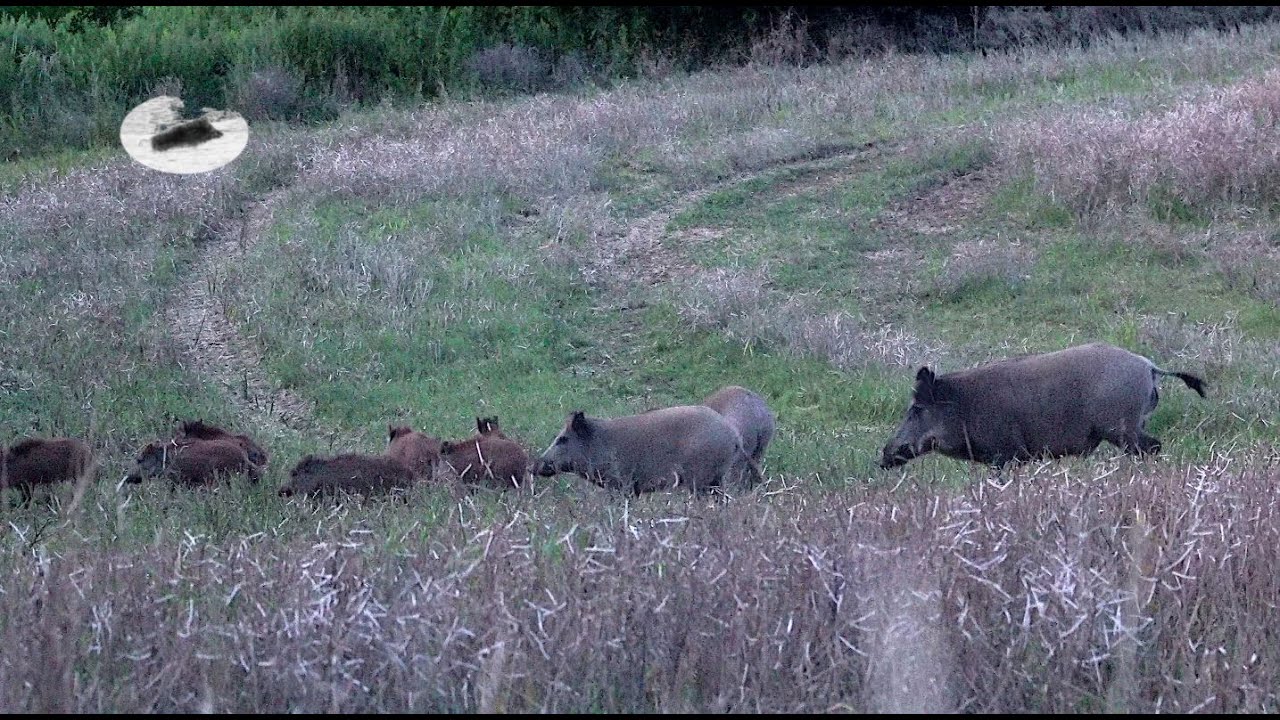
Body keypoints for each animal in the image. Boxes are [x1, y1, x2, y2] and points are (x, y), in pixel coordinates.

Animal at [535, 404, 759, 495]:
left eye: (562, 439)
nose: (533, 466)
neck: (599, 444)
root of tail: (733, 435)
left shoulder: (621, 483)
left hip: (700, 478)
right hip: (716, 479)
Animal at [880, 342, 1207, 469]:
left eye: (915, 410)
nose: (883, 456)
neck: (962, 406)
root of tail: (1148, 366)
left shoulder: (1008, 454)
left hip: (1121, 428)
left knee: (1152, 447)